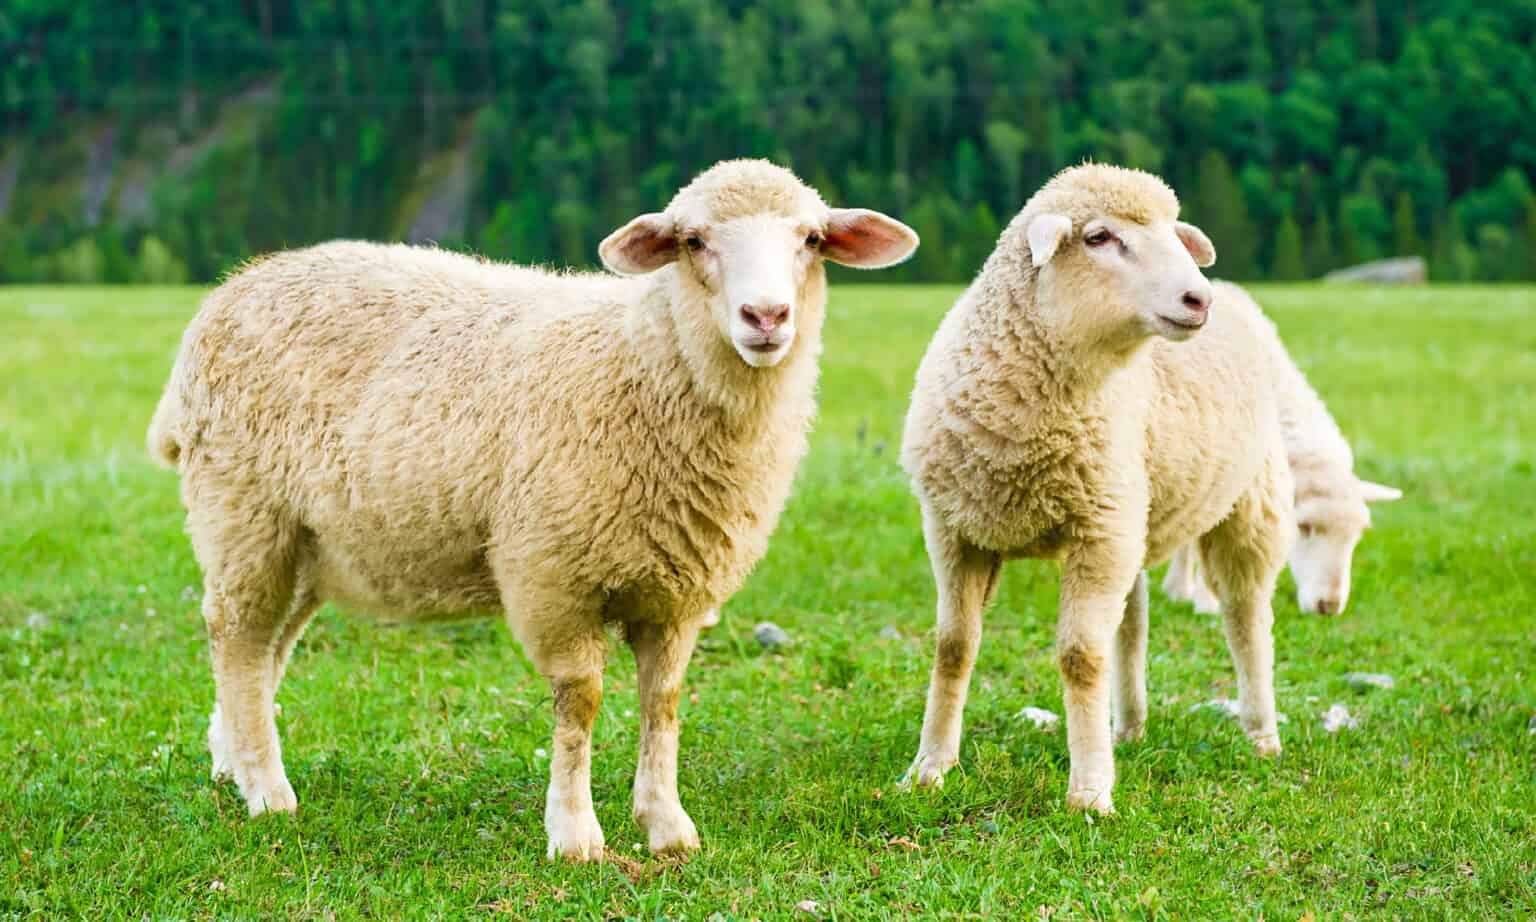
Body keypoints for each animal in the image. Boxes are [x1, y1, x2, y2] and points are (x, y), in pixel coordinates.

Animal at [146, 159, 918, 861]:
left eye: (812, 238)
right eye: (693, 240)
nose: (766, 317)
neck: (646, 363)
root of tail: (232, 290)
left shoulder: (678, 591)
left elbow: (663, 701)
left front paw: (666, 826)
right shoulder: (554, 575)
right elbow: (580, 702)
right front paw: (575, 836)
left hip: (309, 542)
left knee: (266, 650)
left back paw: (233, 760)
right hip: (242, 513)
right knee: (238, 638)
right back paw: (267, 792)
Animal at [898, 163, 1293, 814]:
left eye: (1175, 234)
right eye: (1099, 237)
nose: (1198, 299)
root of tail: (1239, 296)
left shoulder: (1097, 532)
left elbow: (1080, 658)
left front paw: (1088, 791)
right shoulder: (955, 530)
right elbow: (953, 646)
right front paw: (930, 768)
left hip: (1246, 504)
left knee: (1246, 618)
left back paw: (1261, 734)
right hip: (1133, 514)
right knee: (1132, 626)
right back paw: (1127, 727)